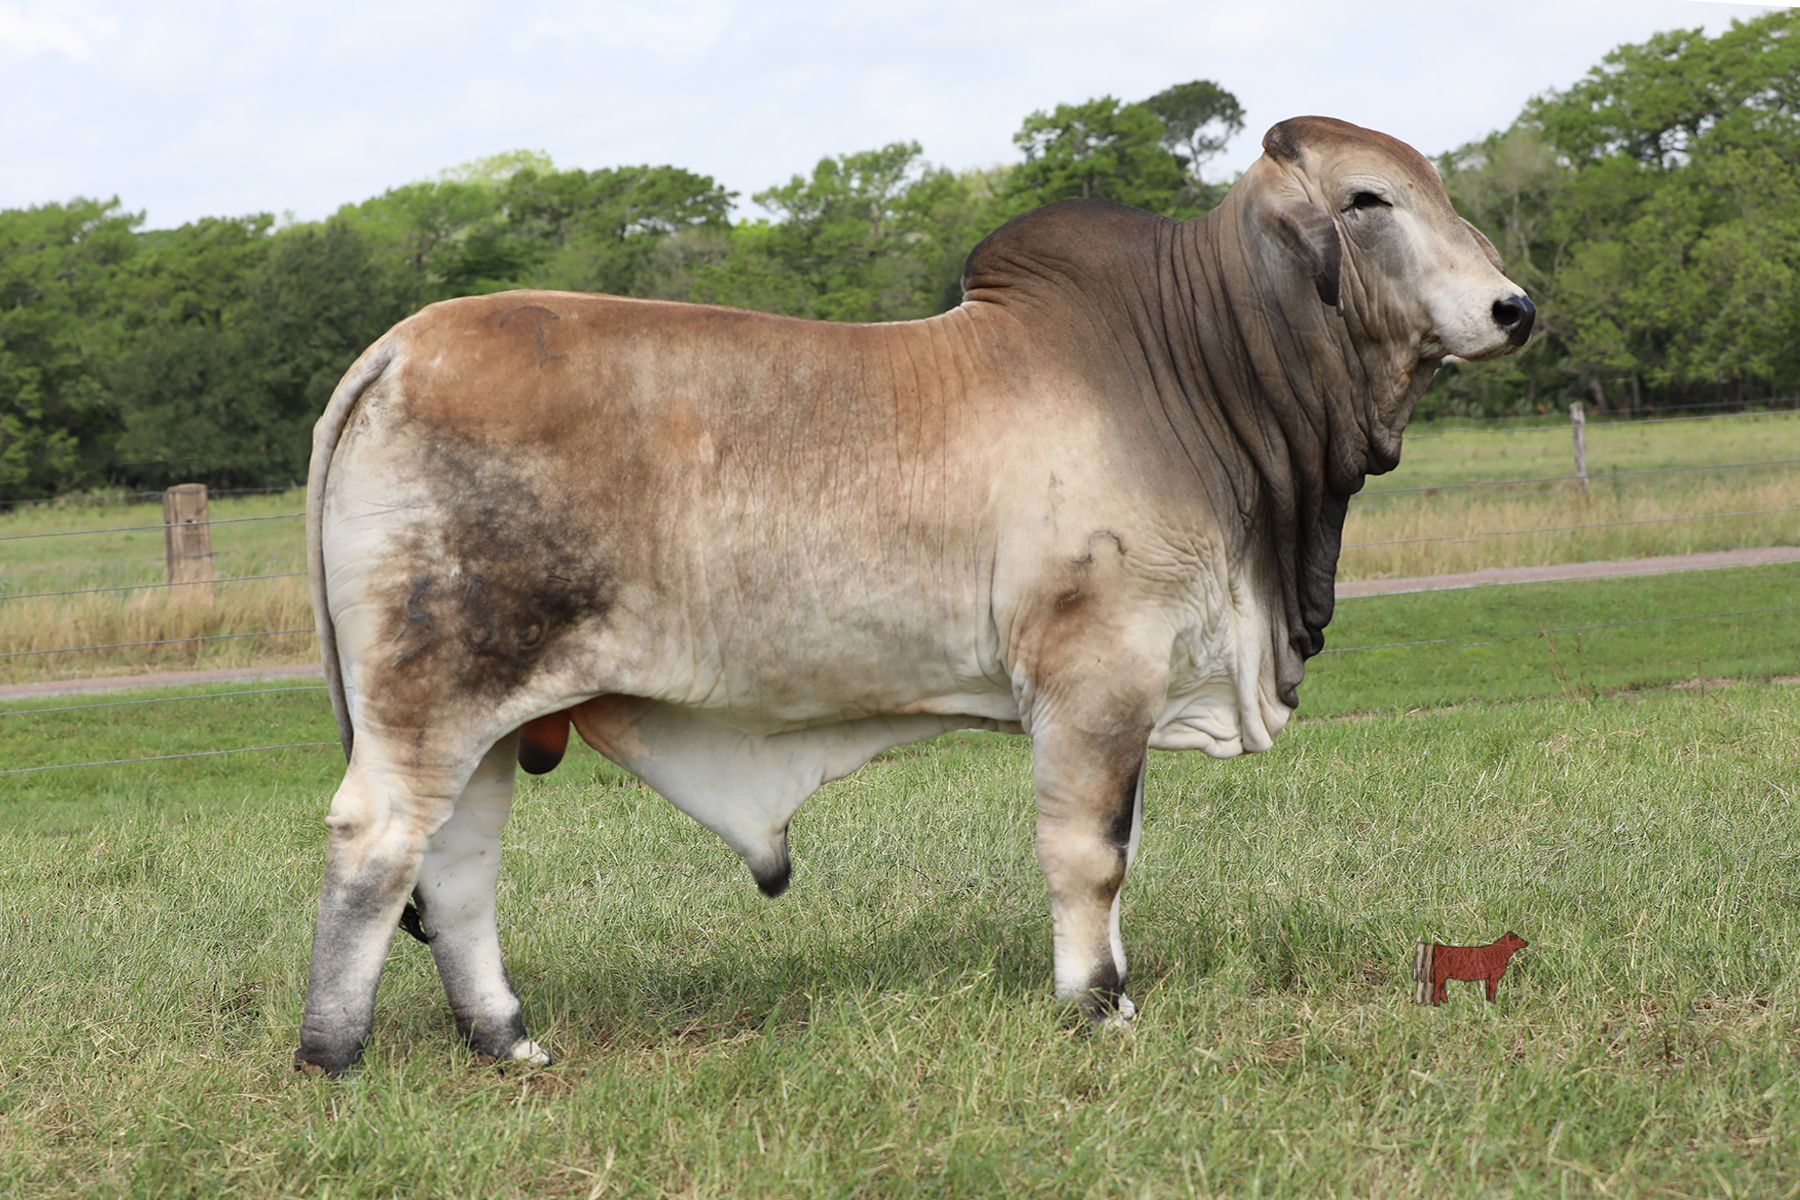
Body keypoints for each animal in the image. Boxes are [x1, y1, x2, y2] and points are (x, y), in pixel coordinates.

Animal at [296, 116, 1534, 1075]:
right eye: (1368, 198)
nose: (1514, 307)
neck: (1188, 370)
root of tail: (397, 347)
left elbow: (1123, 850)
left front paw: (1115, 985)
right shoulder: (1096, 673)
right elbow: (1088, 852)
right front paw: (1094, 1006)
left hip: (491, 717)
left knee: (458, 868)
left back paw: (509, 1040)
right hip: (431, 692)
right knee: (378, 841)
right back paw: (333, 1052)